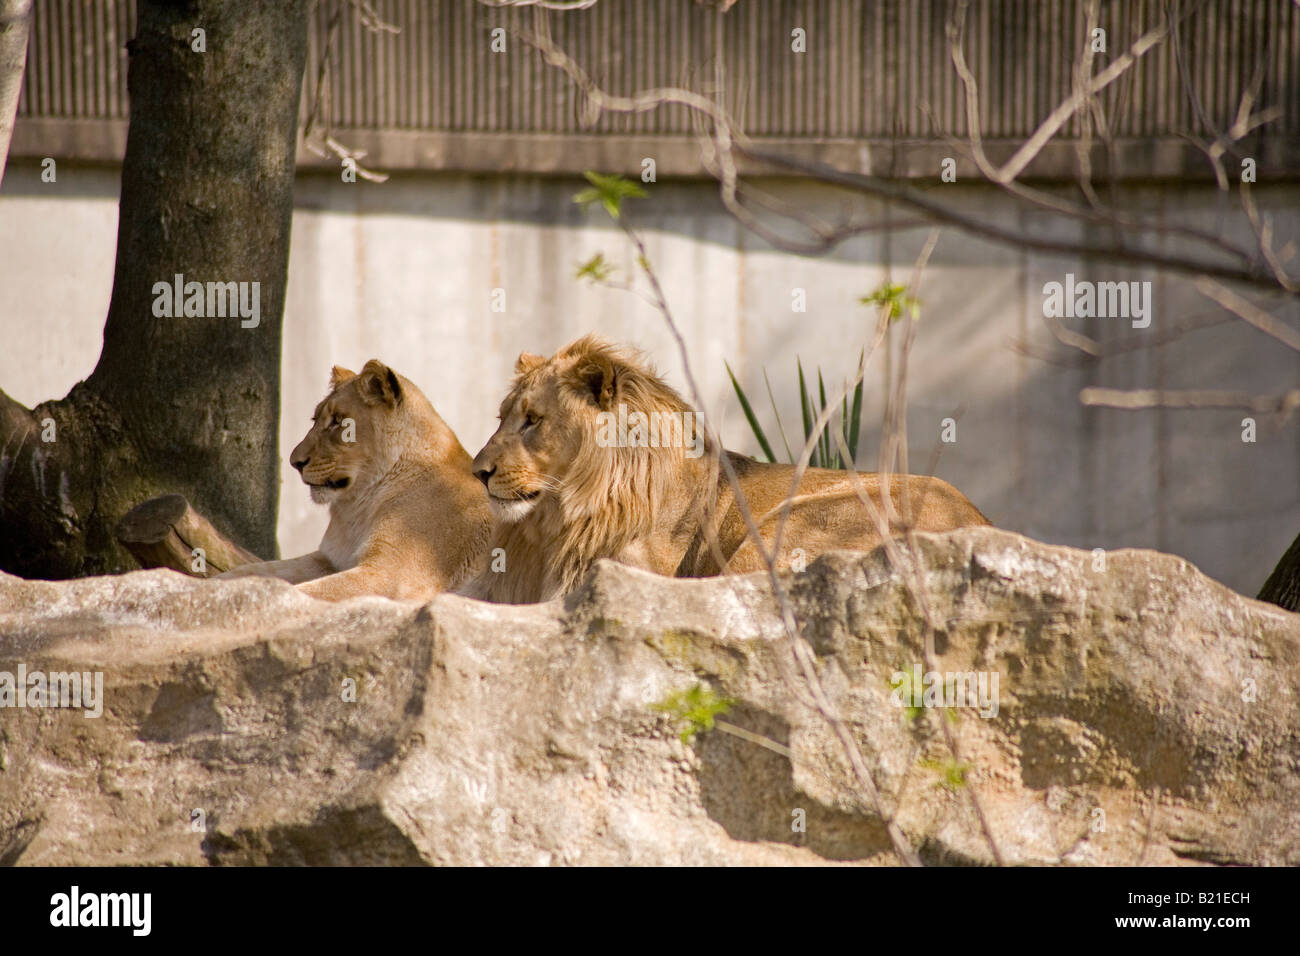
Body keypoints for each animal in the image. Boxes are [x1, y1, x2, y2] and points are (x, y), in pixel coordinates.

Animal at [220, 360, 491, 601]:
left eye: (339, 422)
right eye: (315, 420)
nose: (295, 462)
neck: (359, 507)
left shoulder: (390, 576)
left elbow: (307, 591)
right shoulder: (328, 558)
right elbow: (255, 571)